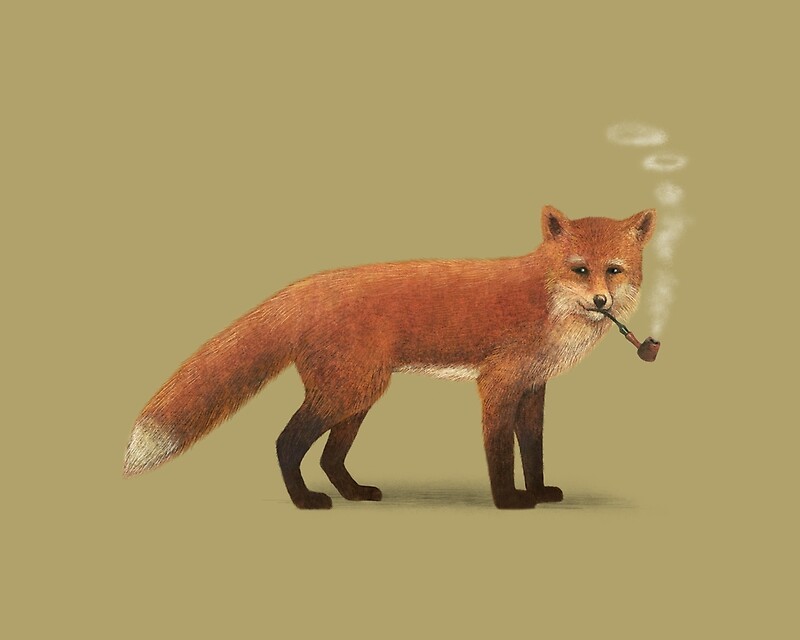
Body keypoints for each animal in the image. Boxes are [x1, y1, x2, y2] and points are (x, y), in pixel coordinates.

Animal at [123, 205, 656, 509]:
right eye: (580, 270)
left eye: (614, 270)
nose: (601, 301)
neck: (550, 304)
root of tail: (306, 286)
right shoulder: (498, 384)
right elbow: (501, 455)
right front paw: (509, 501)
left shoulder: (533, 388)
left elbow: (535, 452)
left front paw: (540, 493)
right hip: (351, 391)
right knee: (285, 443)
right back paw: (305, 501)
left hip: (357, 397)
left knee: (329, 458)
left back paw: (355, 494)